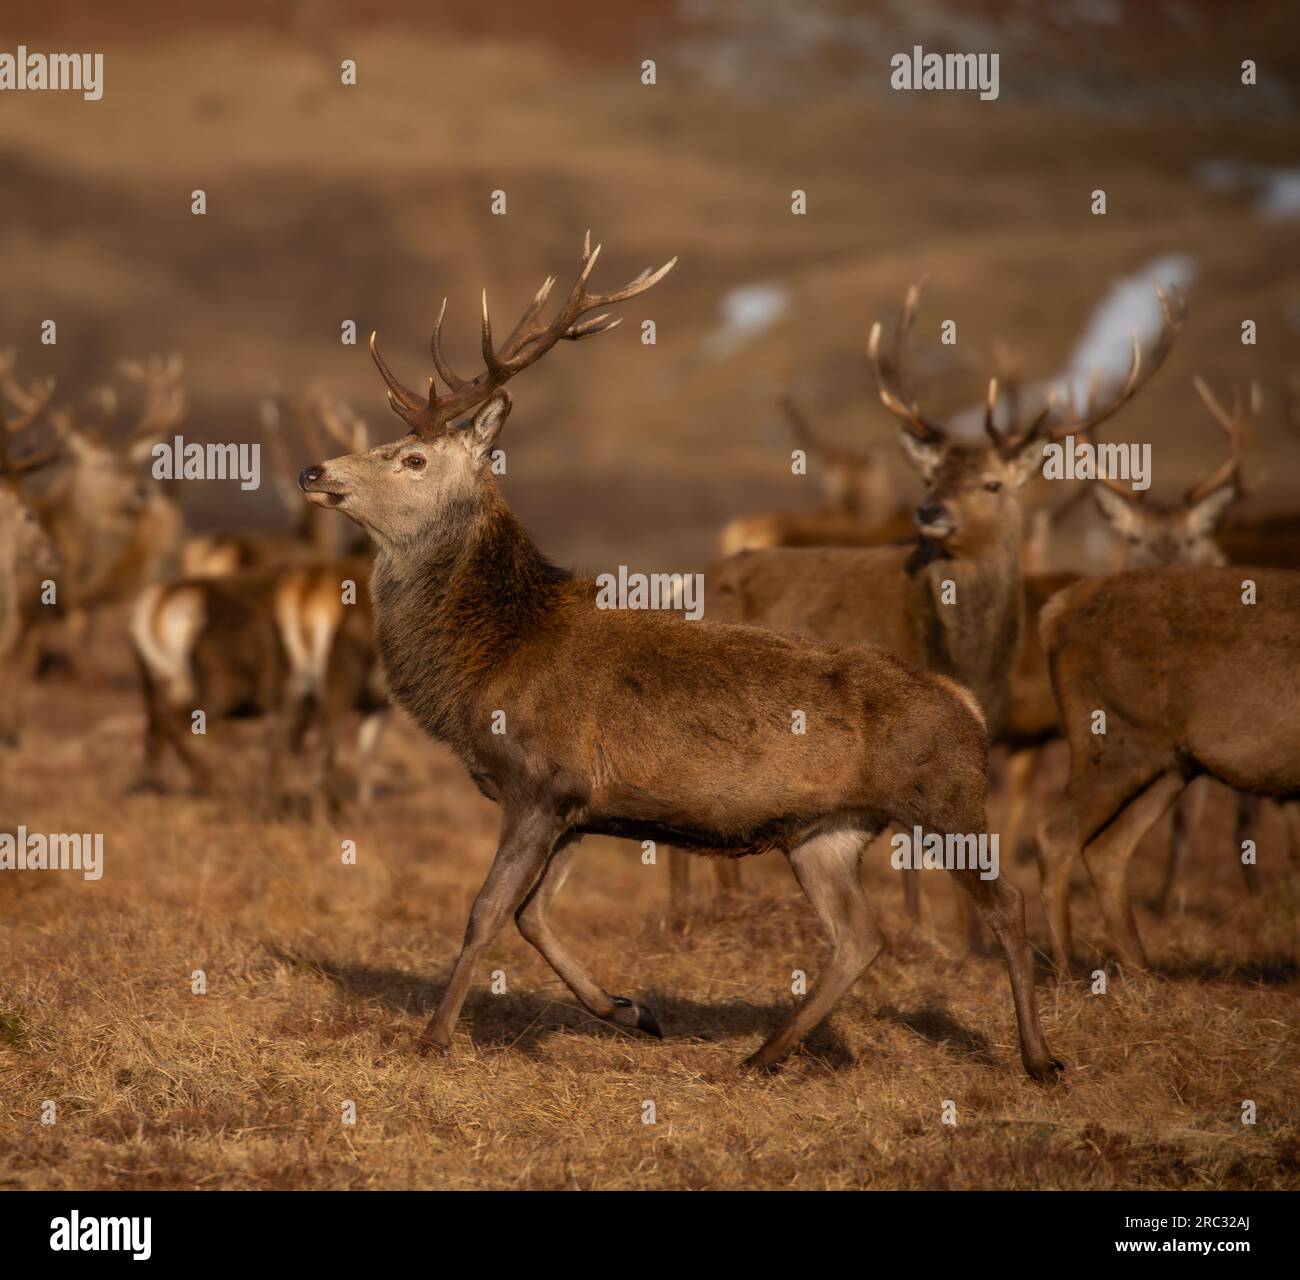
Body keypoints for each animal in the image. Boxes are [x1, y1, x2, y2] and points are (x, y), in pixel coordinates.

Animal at [295, 234, 1062, 1080]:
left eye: (413, 459)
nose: (315, 472)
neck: (486, 663)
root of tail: (966, 705)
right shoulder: (582, 805)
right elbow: (536, 916)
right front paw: (632, 1010)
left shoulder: (539, 782)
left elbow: (488, 911)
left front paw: (433, 1037)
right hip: (826, 832)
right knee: (859, 936)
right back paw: (764, 1053)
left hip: (945, 797)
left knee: (1006, 903)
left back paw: (1039, 1057)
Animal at [670, 282, 1184, 931]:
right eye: (930, 477)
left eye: (993, 483)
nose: (929, 512)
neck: (965, 653)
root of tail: (682, 586)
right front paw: (924, 928)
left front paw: (966, 938)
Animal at [1035, 563, 1300, 972]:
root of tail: (1055, 612)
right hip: (1115, 746)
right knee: (1055, 835)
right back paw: (1068, 971)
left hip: (1171, 766)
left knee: (1107, 849)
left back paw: (1141, 970)